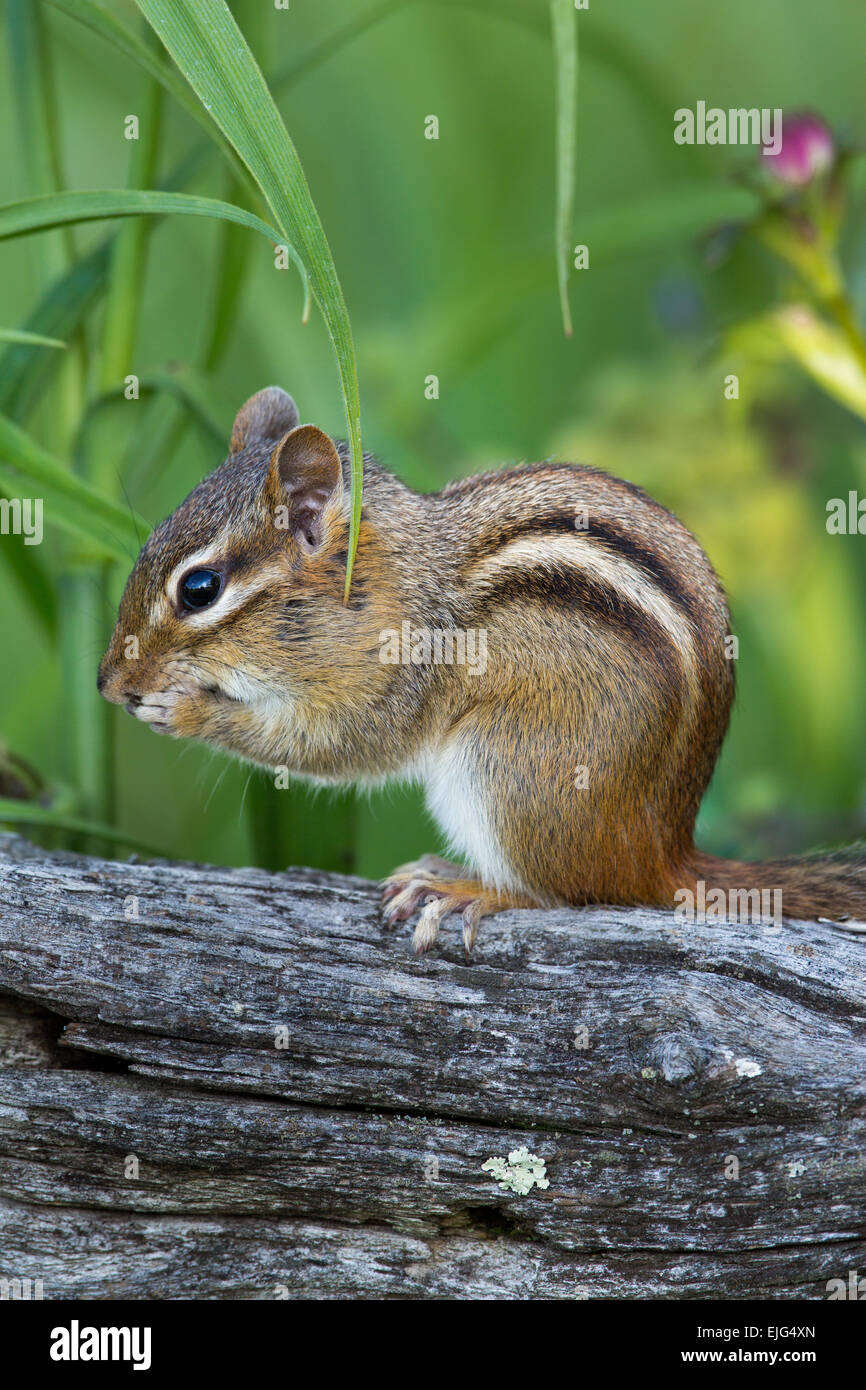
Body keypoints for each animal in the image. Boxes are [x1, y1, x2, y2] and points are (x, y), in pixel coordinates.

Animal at [98, 386, 866, 952]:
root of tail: (662, 852)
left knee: (564, 894)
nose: (108, 684)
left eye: (200, 590)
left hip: (504, 767)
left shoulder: (395, 680)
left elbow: (340, 747)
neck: (376, 582)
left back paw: (465, 887)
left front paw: (186, 710)